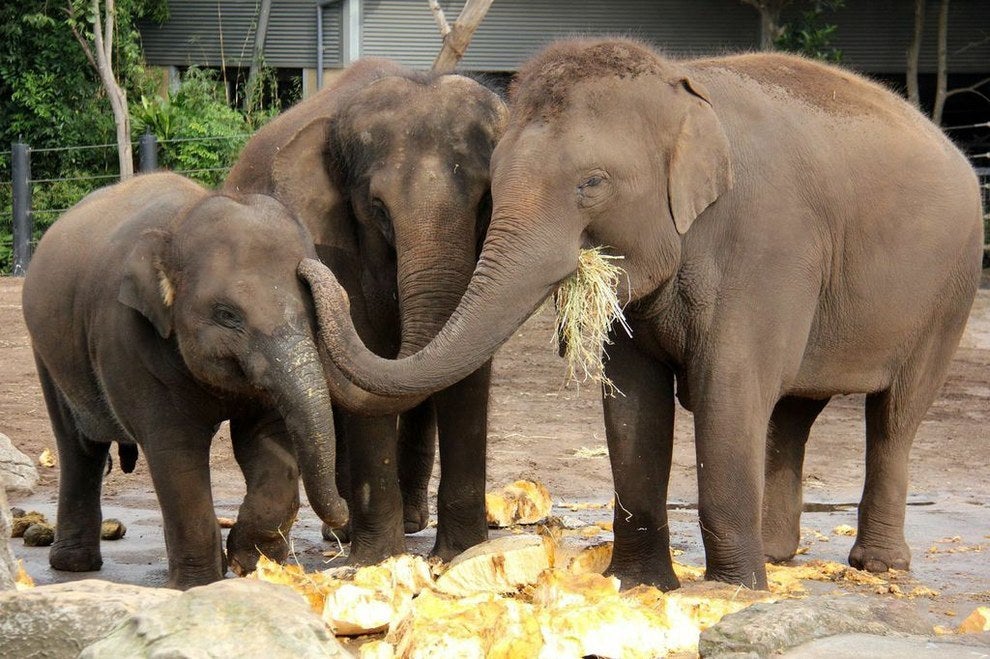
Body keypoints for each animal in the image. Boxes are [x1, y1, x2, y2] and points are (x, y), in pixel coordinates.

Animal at [22, 172, 349, 589]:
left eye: (310, 308)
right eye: (227, 315)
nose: (342, 516)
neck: (181, 222)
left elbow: (268, 439)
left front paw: (251, 564)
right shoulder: (125, 340)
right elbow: (175, 449)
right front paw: (199, 585)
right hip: (48, 355)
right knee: (78, 447)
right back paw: (74, 565)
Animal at [224, 57, 507, 563]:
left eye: (485, 202)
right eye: (377, 208)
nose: (303, 272)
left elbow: (470, 370)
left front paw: (460, 555)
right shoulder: (331, 235)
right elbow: (369, 354)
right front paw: (377, 560)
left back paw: (407, 523)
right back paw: (342, 533)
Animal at [300, 39, 984, 591]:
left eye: (591, 184)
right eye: (494, 184)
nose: (310, 272)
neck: (681, 86)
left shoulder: (768, 245)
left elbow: (727, 391)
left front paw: (731, 591)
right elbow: (633, 399)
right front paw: (638, 584)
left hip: (951, 290)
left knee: (895, 415)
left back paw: (876, 566)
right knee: (793, 412)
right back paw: (777, 555)